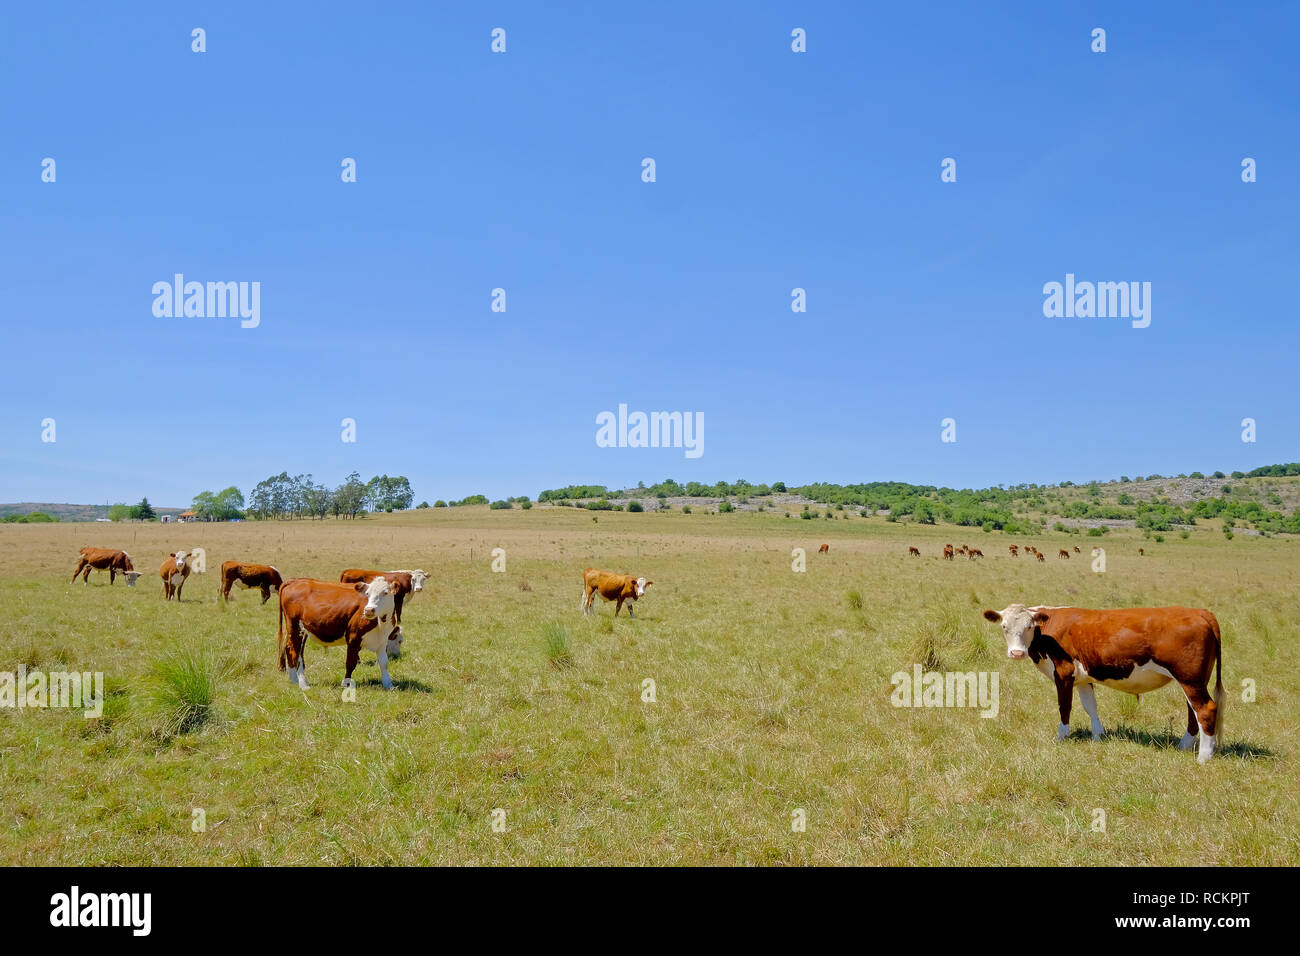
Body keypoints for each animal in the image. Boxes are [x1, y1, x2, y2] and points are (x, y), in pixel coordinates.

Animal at [981, 604, 1224, 763]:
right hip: (1194, 680)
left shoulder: (1063, 673)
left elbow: (1064, 706)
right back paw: (1184, 746)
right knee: (1193, 711)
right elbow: (1090, 706)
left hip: (1189, 679)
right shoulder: (1082, 678)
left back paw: (1204, 757)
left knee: (1205, 709)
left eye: (1029, 627)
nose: (1017, 653)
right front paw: (1098, 736)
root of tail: (1200, 612)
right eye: (1004, 627)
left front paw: (1061, 736)